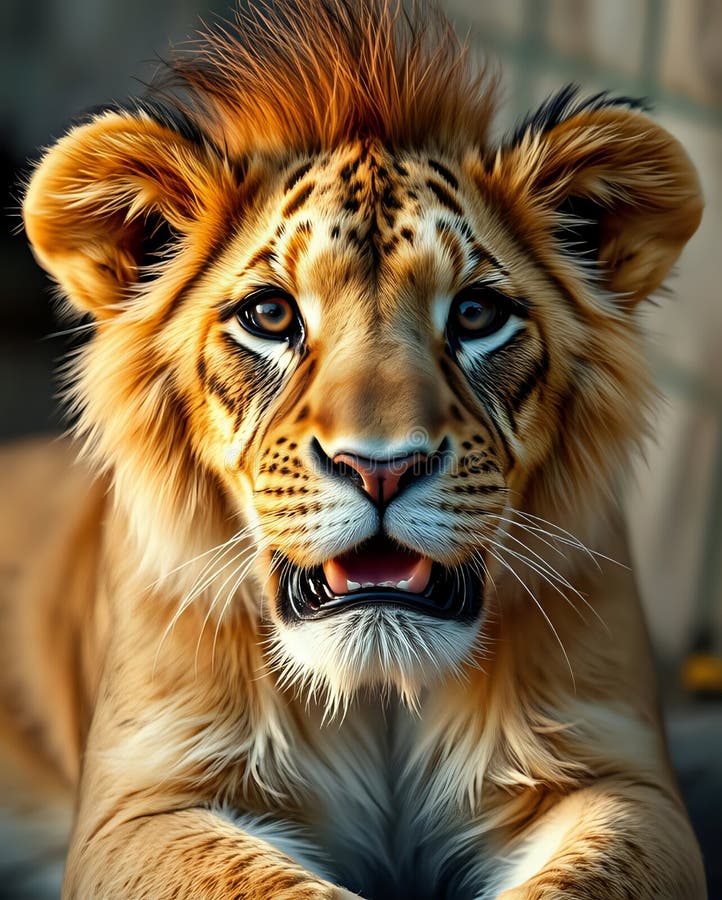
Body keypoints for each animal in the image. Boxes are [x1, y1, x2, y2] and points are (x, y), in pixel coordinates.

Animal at [0, 0, 706, 897]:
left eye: (475, 315)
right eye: (270, 315)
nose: (381, 468)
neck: (379, 695)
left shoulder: (624, 776)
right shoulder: (139, 805)